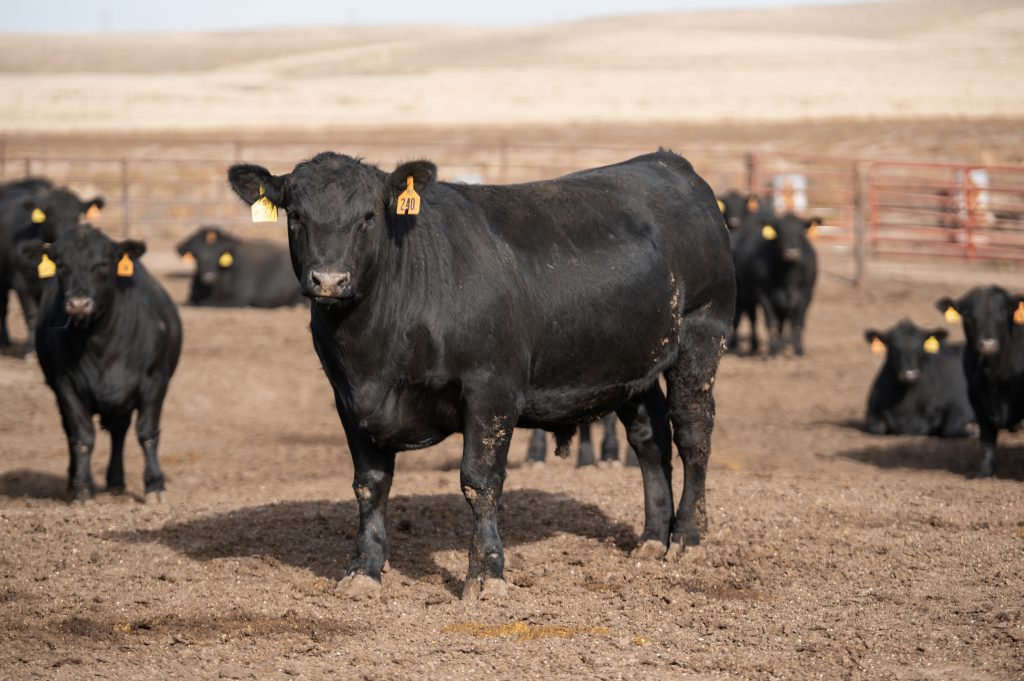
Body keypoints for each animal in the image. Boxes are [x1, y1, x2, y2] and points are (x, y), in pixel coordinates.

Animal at [0, 179, 103, 353]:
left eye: (77, 216)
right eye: (52, 215)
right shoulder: (21, 283)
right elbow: (32, 314)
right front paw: (30, 350)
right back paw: (5, 343)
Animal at [28, 225, 181, 502]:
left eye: (102, 264)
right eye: (61, 264)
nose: (78, 303)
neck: (101, 343)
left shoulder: (155, 381)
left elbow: (148, 433)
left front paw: (155, 485)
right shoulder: (65, 385)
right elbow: (82, 436)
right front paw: (82, 489)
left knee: (119, 432)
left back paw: (116, 481)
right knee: (72, 432)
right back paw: (75, 481)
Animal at [227, 150, 735, 600]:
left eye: (369, 216)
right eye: (295, 215)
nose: (330, 280)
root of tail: (668, 162)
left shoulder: (492, 391)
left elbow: (480, 481)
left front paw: (487, 575)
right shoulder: (350, 400)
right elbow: (370, 485)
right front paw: (363, 571)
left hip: (701, 334)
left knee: (693, 434)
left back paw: (687, 537)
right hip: (632, 366)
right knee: (651, 441)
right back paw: (652, 539)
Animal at [733, 212, 819, 356]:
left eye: (801, 232)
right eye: (781, 232)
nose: (792, 251)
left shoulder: (806, 294)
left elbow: (797, 323)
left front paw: (798, 350)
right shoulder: (764, 295)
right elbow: (772, 323)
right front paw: (773, 351)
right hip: (745, 296)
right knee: (748, 319)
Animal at [935, 286, 1024, 476]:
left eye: (1003, 312)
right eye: (969, 316)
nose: (988, 344)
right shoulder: (976, 397)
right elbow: (987, 436)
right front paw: (985, 471)